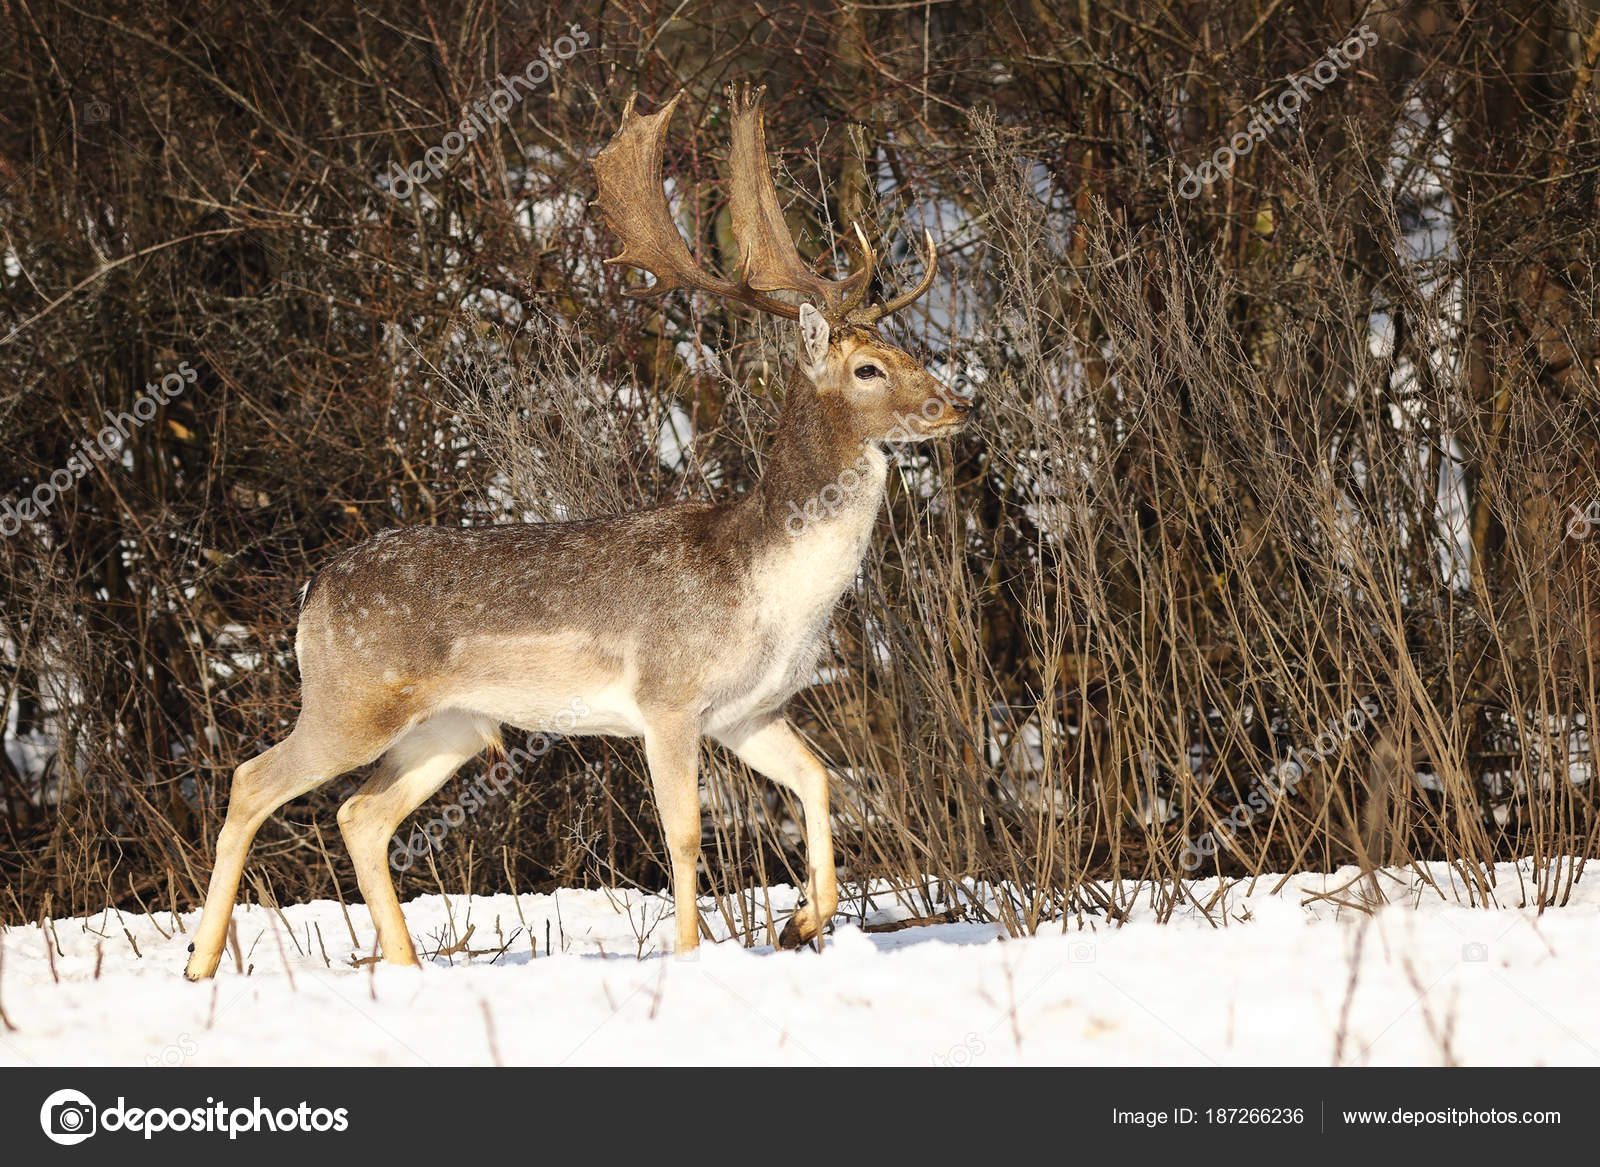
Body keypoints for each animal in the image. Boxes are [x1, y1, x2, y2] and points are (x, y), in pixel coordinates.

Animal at [183, 84, 970, 980]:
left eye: (902, 347)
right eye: (868, 368)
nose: (956, 402)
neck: (766, 587)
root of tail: (312, 589)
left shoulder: (749, 709)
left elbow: (819, 779)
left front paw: (802, 924)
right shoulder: (668, 695)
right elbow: (684, 834)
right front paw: (693, 955)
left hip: (452, 725)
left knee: (362, 813)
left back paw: (406, 966)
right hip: (351, 698)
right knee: (252, 779)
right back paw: (199, 965)